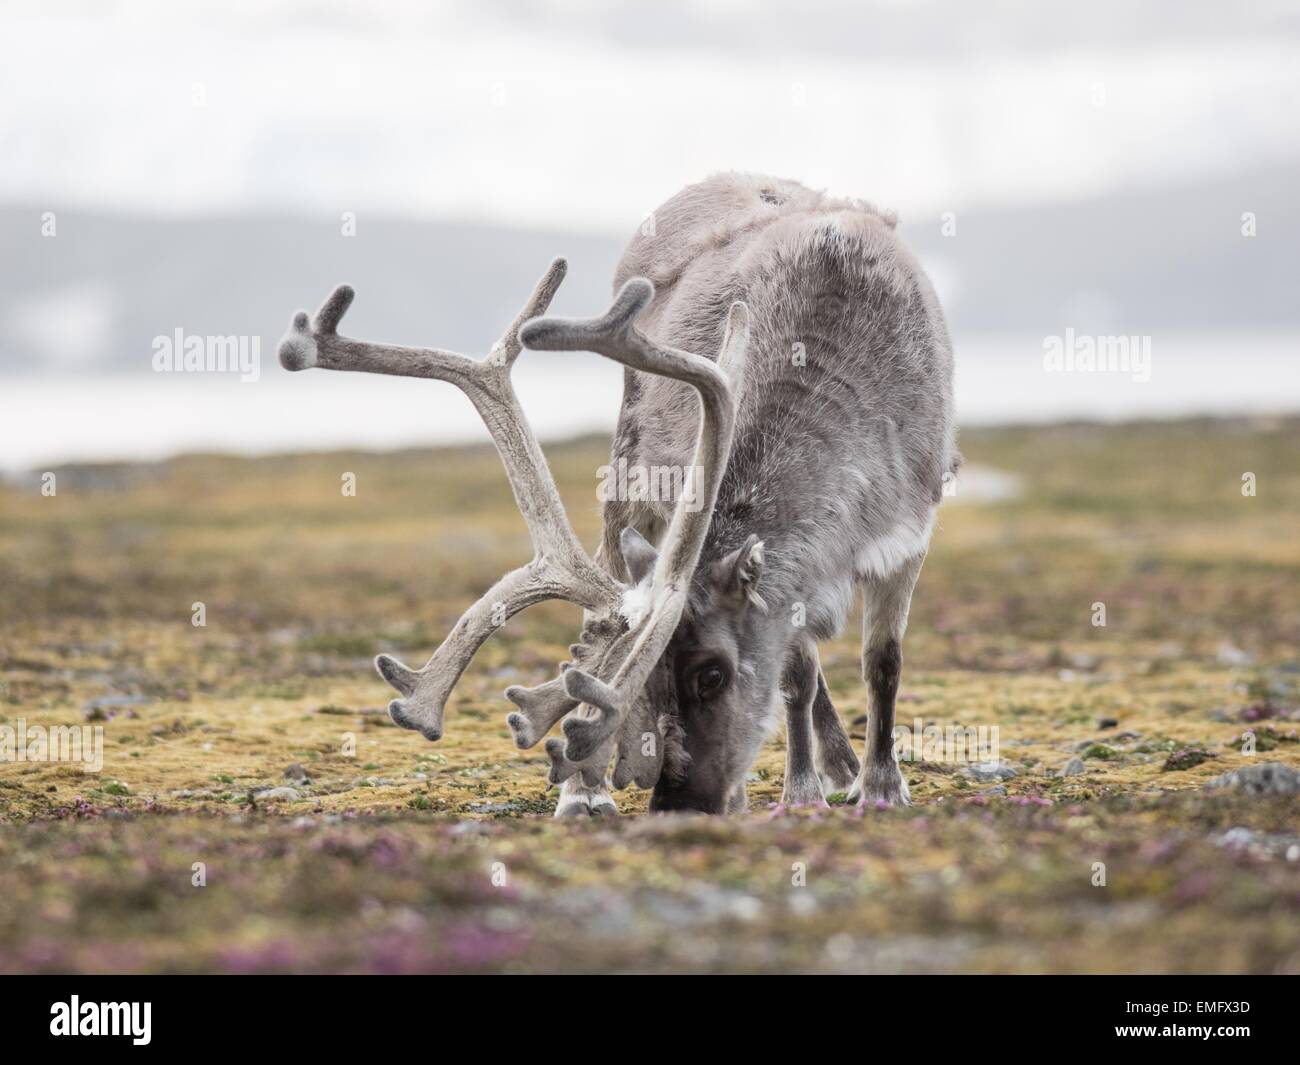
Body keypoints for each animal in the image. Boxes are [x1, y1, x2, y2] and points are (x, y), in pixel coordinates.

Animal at [278, 172, 958, 817]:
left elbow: (882, 664)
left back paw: (841, 767)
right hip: (629, 472)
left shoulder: (910, 531)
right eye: (651, 683)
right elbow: (797, 674)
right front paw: (800, 794)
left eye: (712, 675)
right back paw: (586, 791)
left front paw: (879, 786)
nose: (678, 803)